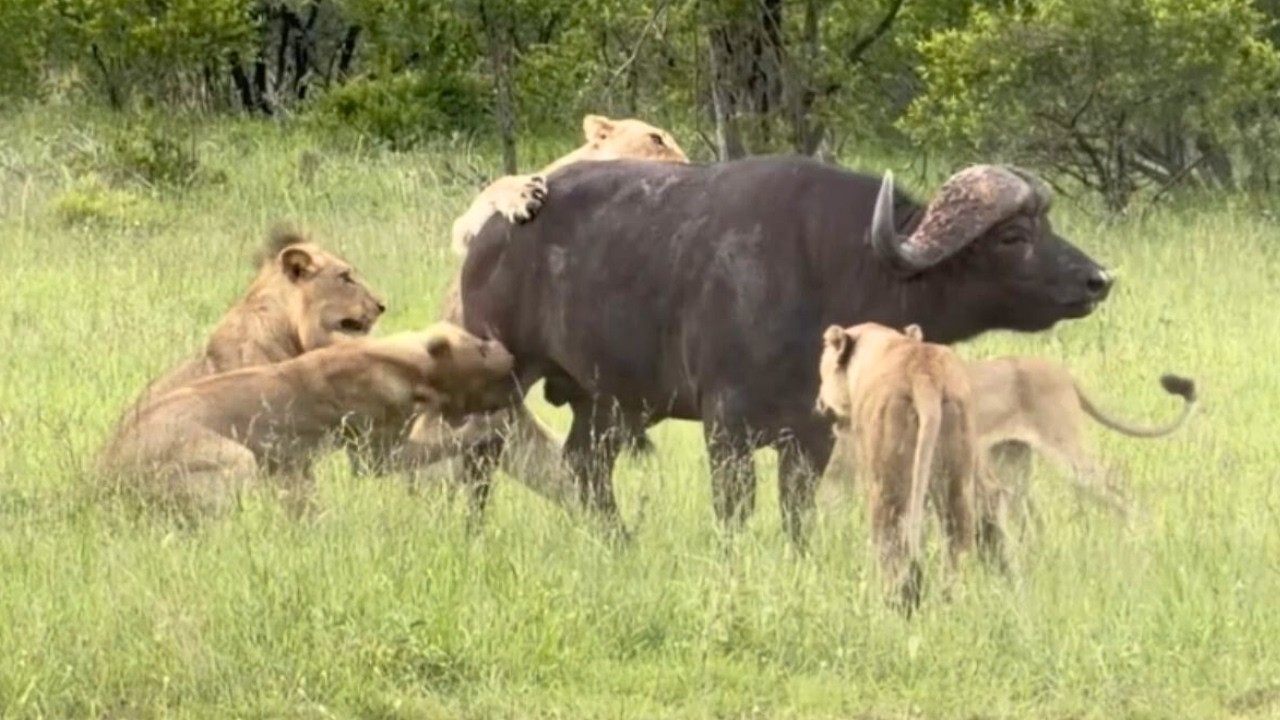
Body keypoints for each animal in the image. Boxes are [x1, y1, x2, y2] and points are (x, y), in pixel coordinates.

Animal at [96, 323, 517, 519]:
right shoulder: (374, 453)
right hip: (227, 457)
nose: (505, 349)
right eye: (480, 349)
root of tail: (98, 477)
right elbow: (437, 444)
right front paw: (490, 425)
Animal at [456, 154, 1113, 545]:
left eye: (1045, 226)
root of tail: (491, 230)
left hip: (609, 401)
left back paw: (620, 541)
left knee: (585, 466)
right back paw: (473, 531)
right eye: (1013, 236)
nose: (1098, 279)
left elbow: (797, 511)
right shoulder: (726, 428)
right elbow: (736, 509)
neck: (834, 270)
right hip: (501, 372)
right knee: (480, 457)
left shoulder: (812, 435)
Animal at [817, 321, 986, 613]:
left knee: (892, 541)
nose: (820, 402)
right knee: (958, 541)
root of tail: (925, 375)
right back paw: (953, 604)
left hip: (888, 482)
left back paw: (890, 604)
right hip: (957, 479)